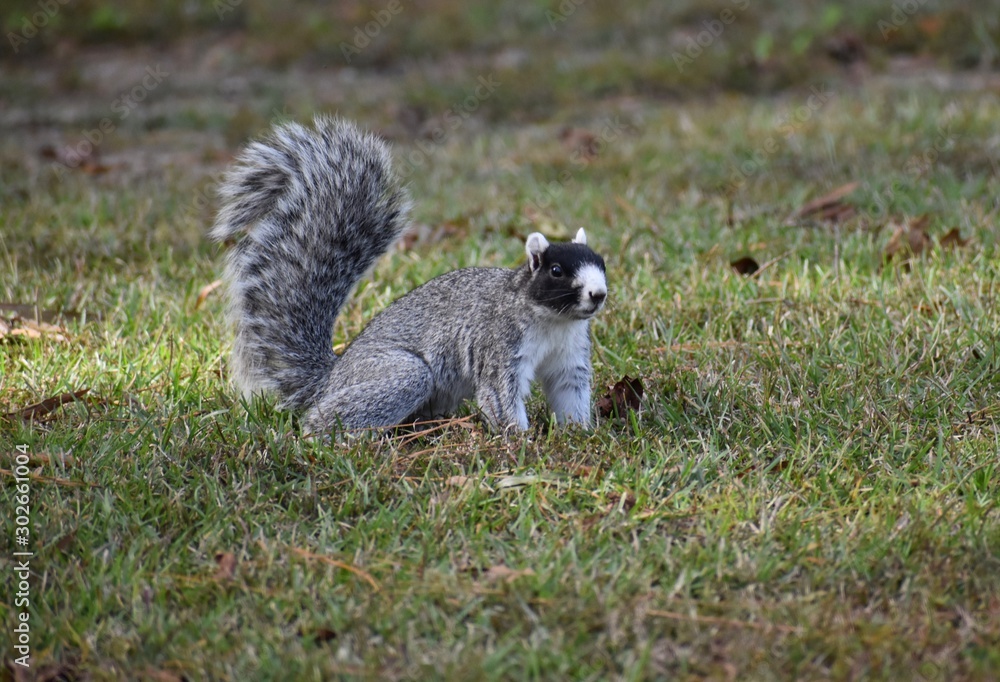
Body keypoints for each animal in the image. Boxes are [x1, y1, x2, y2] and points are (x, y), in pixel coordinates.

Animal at [211, 117, 608, 434]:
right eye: (556, 271)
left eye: (602, 263)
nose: (598, 294)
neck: (552, 321)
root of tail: (332, 379)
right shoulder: (500, 345)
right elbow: (500, 394)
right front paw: (523, 443)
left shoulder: (570, 356)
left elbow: (569, 391)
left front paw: (580, 435)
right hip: (400, 374)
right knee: (325, 418)